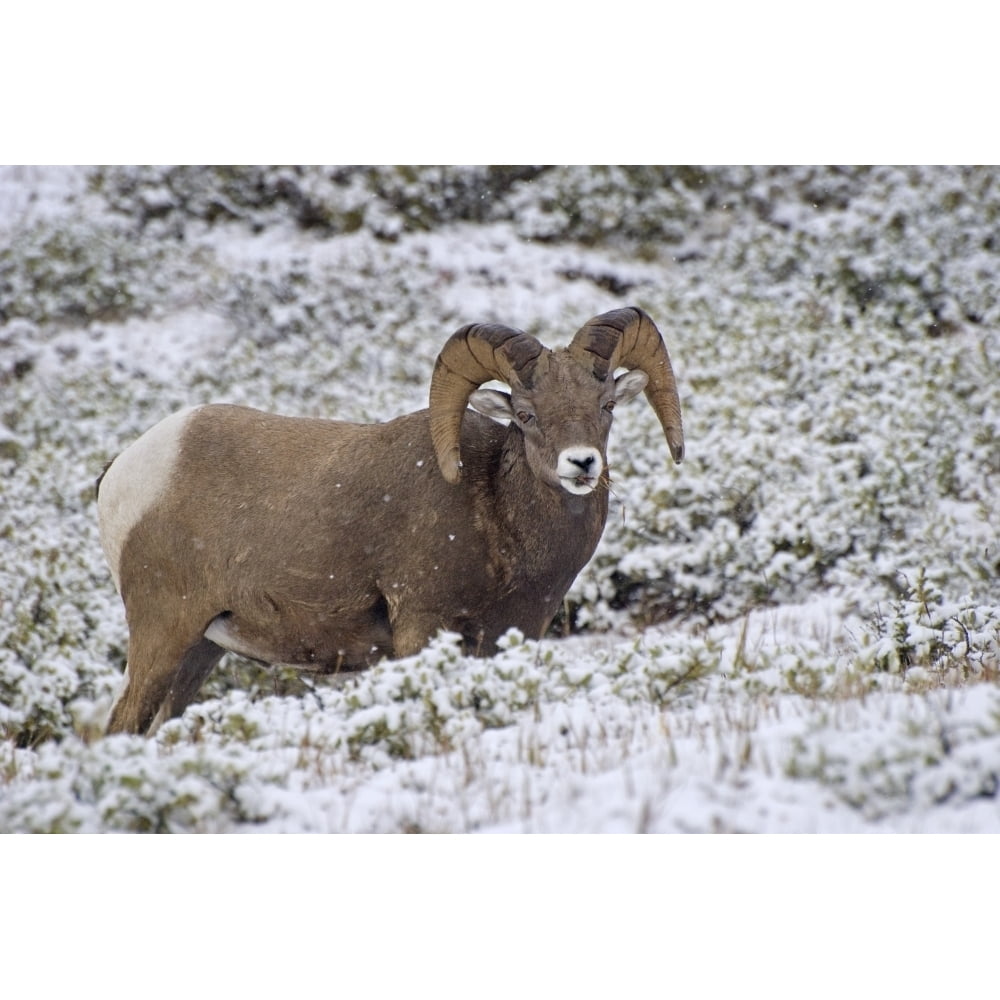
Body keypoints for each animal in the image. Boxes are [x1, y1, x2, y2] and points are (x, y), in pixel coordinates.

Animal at [96, 306, 684, 735]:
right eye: (526, 414)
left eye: (607, 406)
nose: (581, 464)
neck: (496, 514)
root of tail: (120, 472)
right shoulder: (421, 628)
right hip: (163, 633)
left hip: (201, 649)